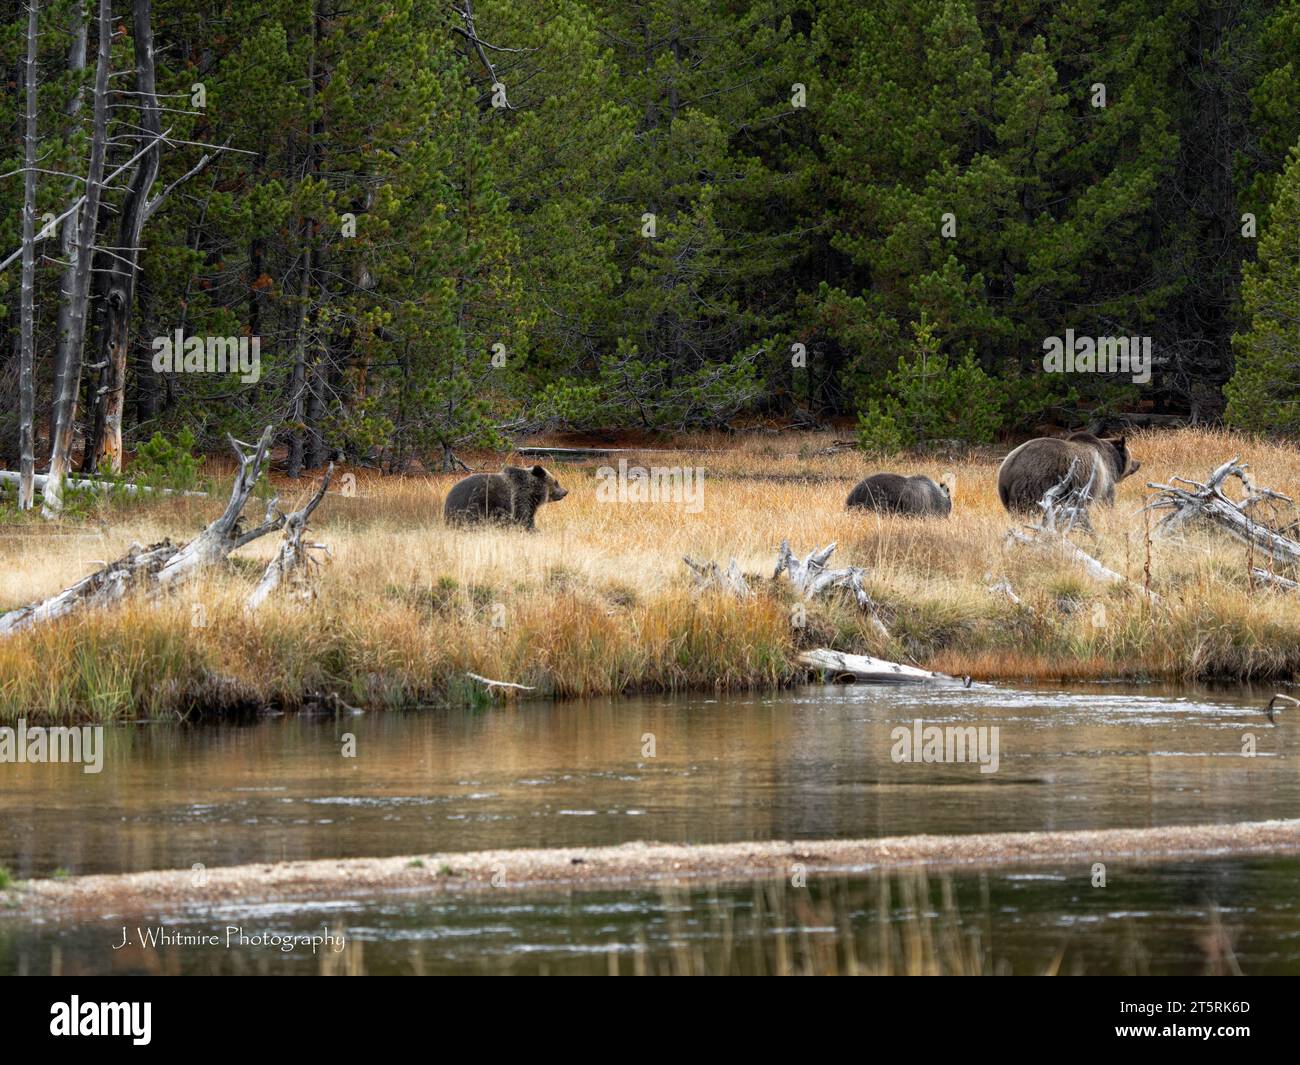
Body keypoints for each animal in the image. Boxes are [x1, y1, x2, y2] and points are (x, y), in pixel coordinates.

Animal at [996, 432, 1140, 513]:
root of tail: (1008, 471)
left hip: (1005, 494)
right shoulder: (1103, 480)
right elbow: (1106, 500)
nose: (1138, 463)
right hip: (1035, 485)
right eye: (1131, 454)